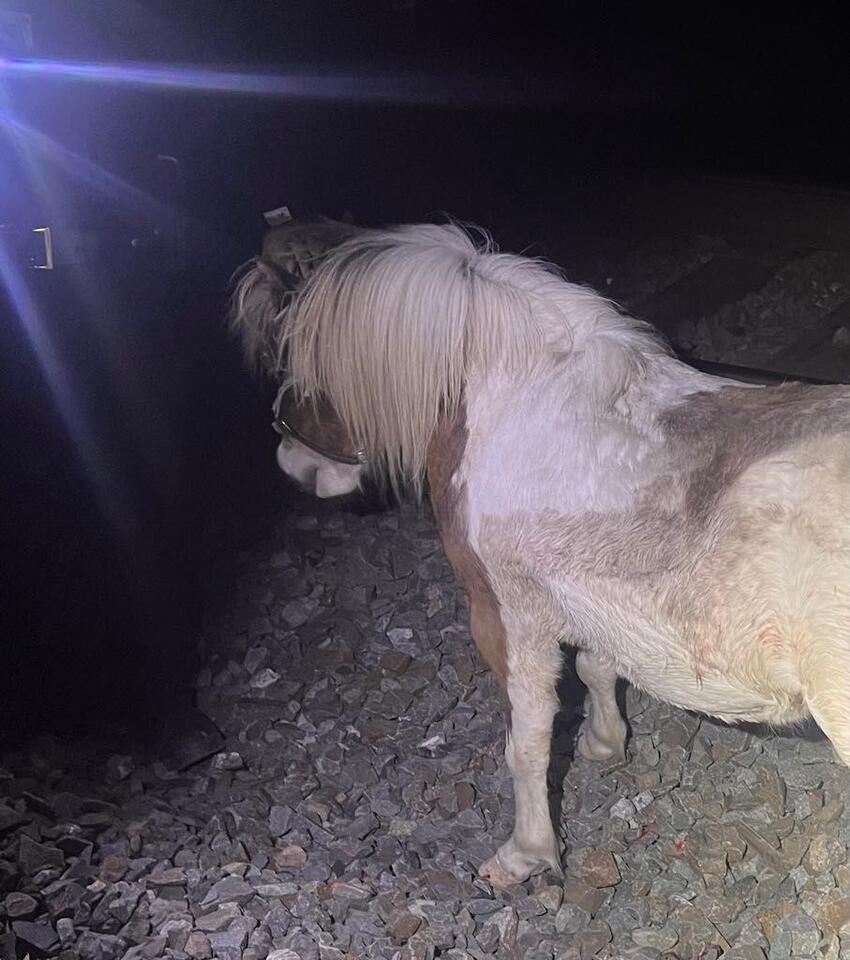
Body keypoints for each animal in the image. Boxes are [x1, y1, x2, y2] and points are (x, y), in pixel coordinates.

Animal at [231, 220, 850, 887]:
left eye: (290, 352)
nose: (294, 466)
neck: (511, 402)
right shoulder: (591, 600)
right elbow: (598, 668)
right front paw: (606, 743)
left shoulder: (506, 618)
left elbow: (527, 742)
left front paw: (526, 853)